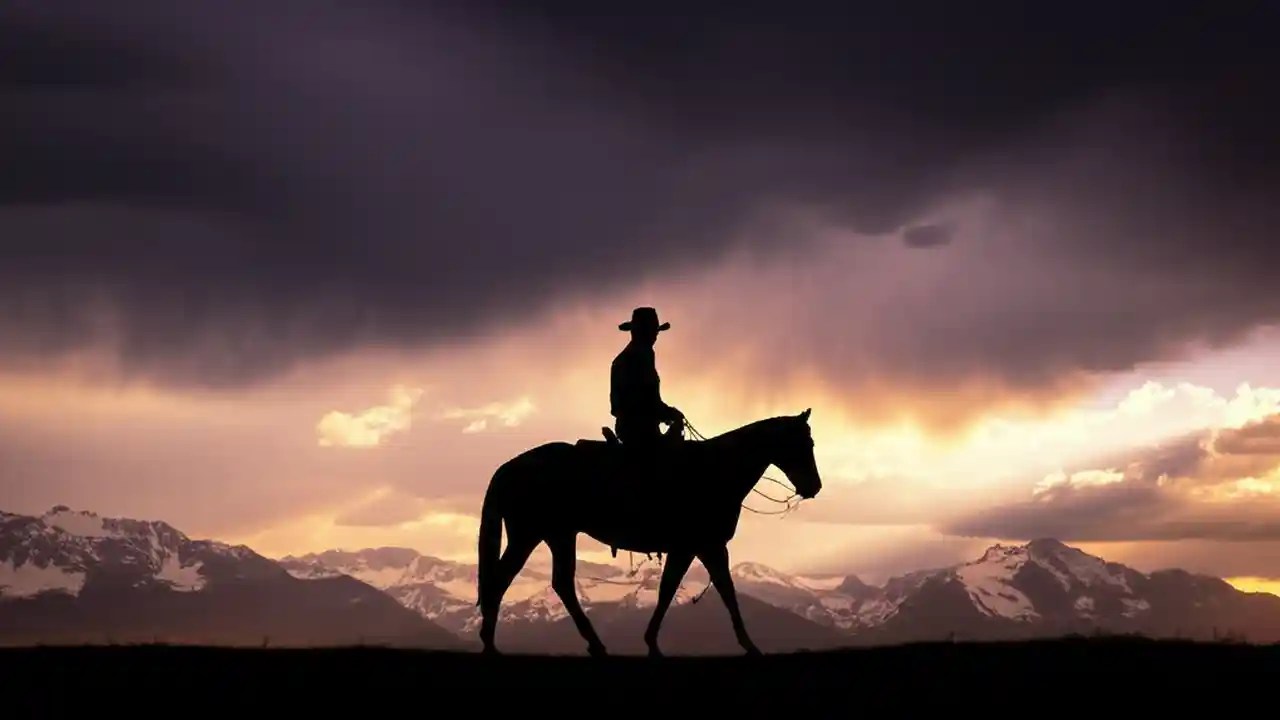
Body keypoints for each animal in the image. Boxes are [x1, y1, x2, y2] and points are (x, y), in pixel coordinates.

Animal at [475, 408, 822, 658]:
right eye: (804, 444)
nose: (814, 487)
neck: (715, 470)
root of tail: (508, 468)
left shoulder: (699, 547)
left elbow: (692, 589)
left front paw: (654, 641)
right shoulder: (700, 545)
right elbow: (701, 590)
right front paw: (747, 645)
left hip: (555, 535)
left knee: (554, 583)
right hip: (532, 535)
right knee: (506, 580)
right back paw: (491, 644)